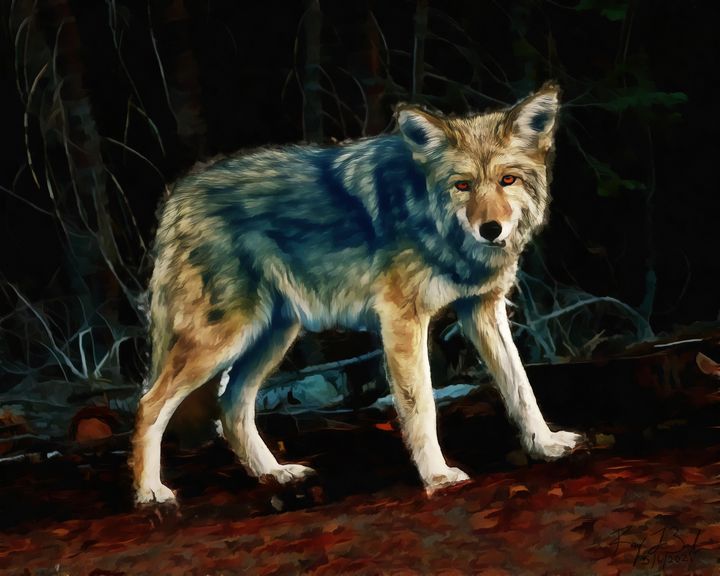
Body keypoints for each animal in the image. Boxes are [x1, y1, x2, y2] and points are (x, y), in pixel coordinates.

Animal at [131, 82, 582, 504]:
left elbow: (520, 386)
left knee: (232, 405)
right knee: (150, 403)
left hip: (272, 335)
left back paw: (274, 473)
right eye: (463, 185)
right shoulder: (402, 319)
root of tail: (177, 194)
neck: (432, 218)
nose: (491, 229)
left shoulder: (482, 308)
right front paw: (437, 476)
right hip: (223, 339)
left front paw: (545, 445)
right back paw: (150, 492)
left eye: (508, 180)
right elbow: (422, 406)